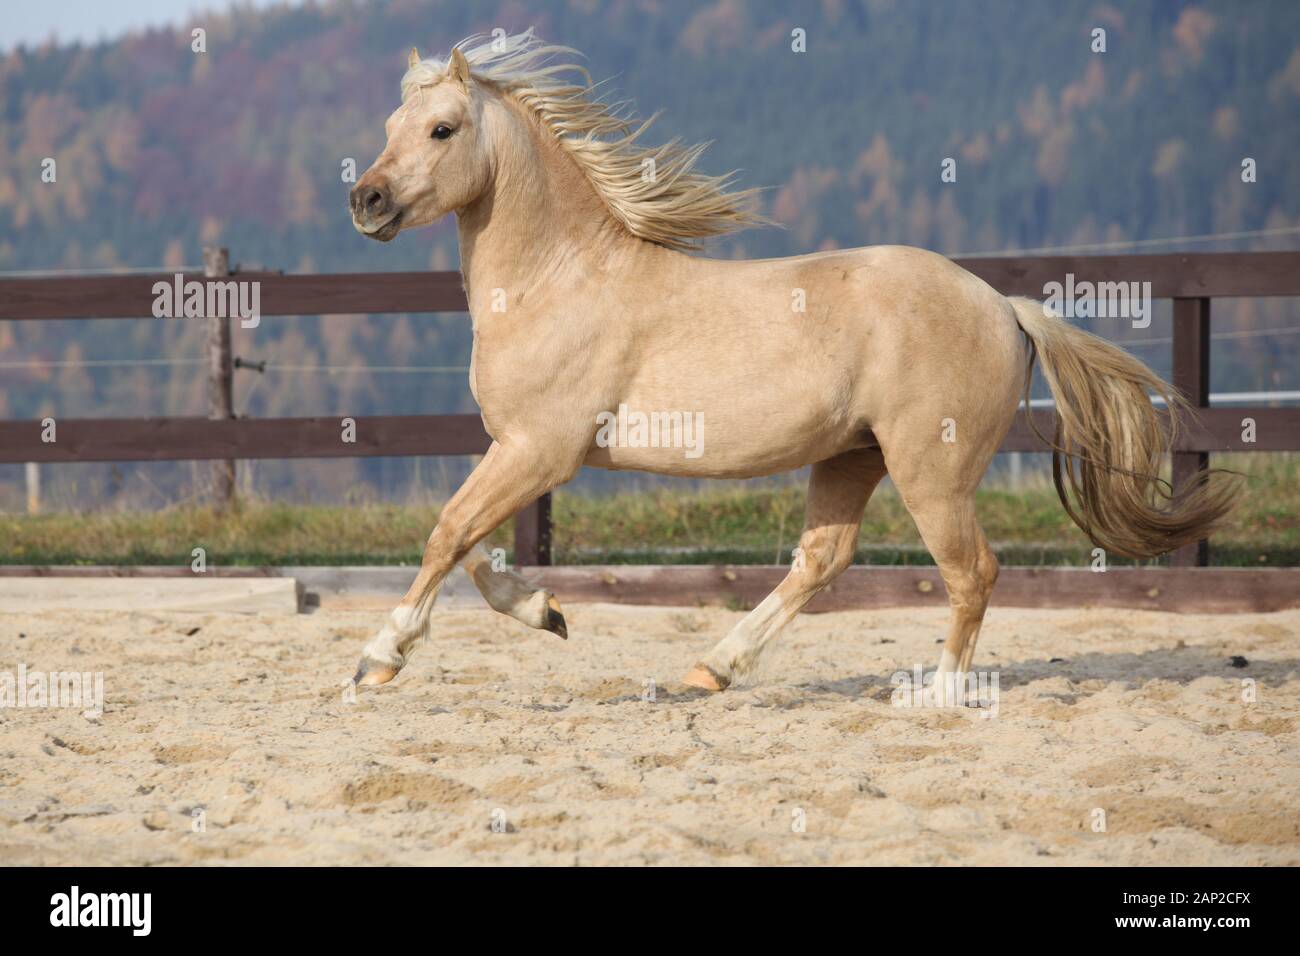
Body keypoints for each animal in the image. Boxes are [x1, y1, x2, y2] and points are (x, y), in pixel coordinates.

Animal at [345, 31, 1235, 696]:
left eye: (442, 129)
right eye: (389, 123)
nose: (366, 201)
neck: (561, 278)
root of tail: (1006, 307)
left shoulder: (540, 450)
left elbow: (448, 533)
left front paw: (379, 660)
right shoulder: (518, 451)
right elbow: (469, 543)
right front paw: (548, 612)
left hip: (932, 471)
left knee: (971, 571)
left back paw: (939, 694)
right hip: (853, 455)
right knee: (823, 559)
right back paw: (712, 667)